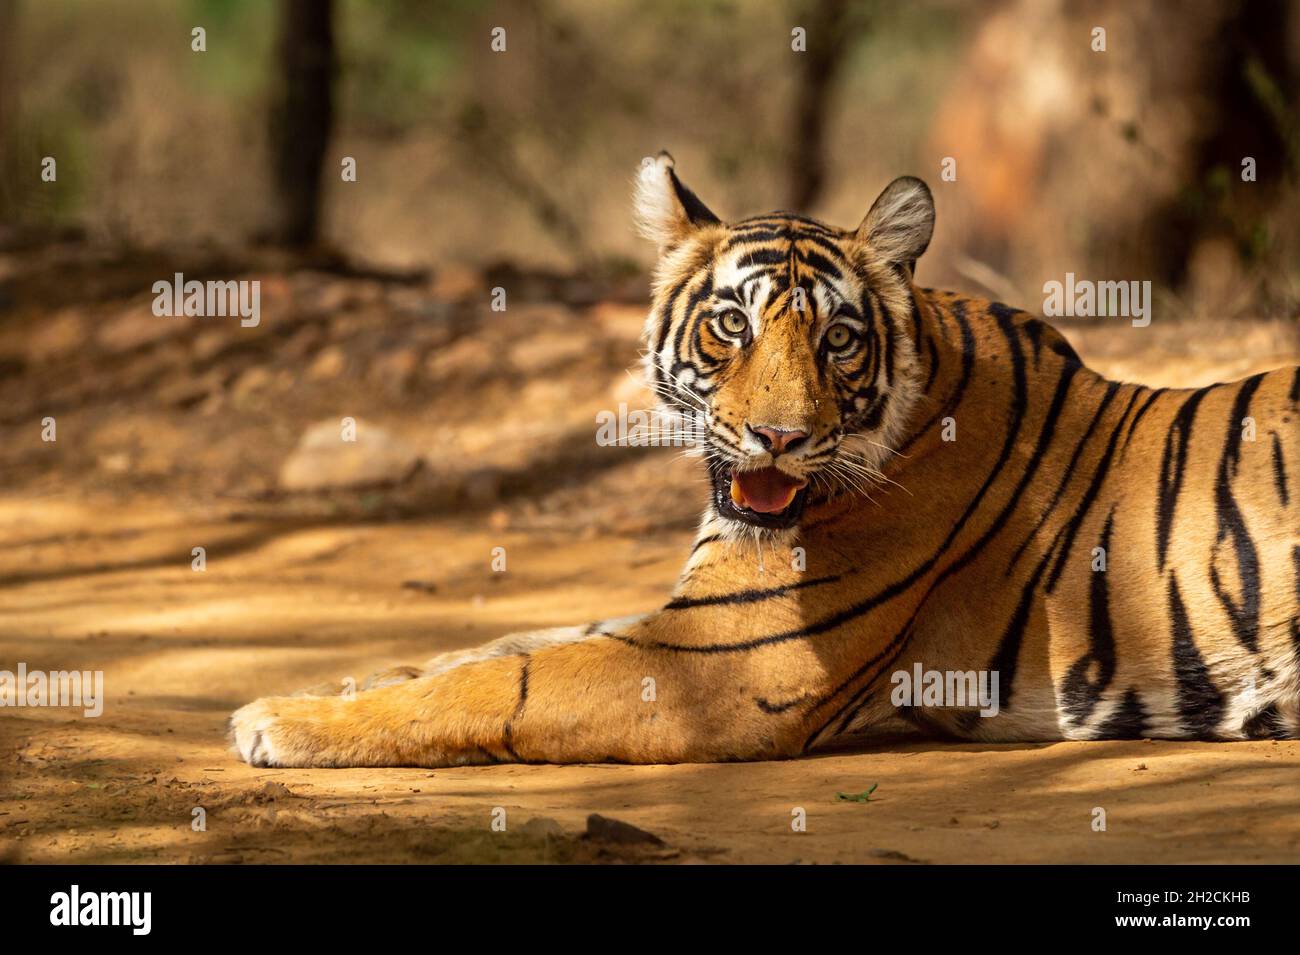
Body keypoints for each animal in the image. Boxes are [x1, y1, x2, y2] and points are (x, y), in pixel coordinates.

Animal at [231, 151, 1300, 767]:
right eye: (732, 325)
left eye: (838, 340)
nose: (779, 439)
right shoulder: (693, 615)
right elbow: (506, 641)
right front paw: (357, 676)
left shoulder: (725, 658)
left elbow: (506, 682)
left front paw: (277, 717)